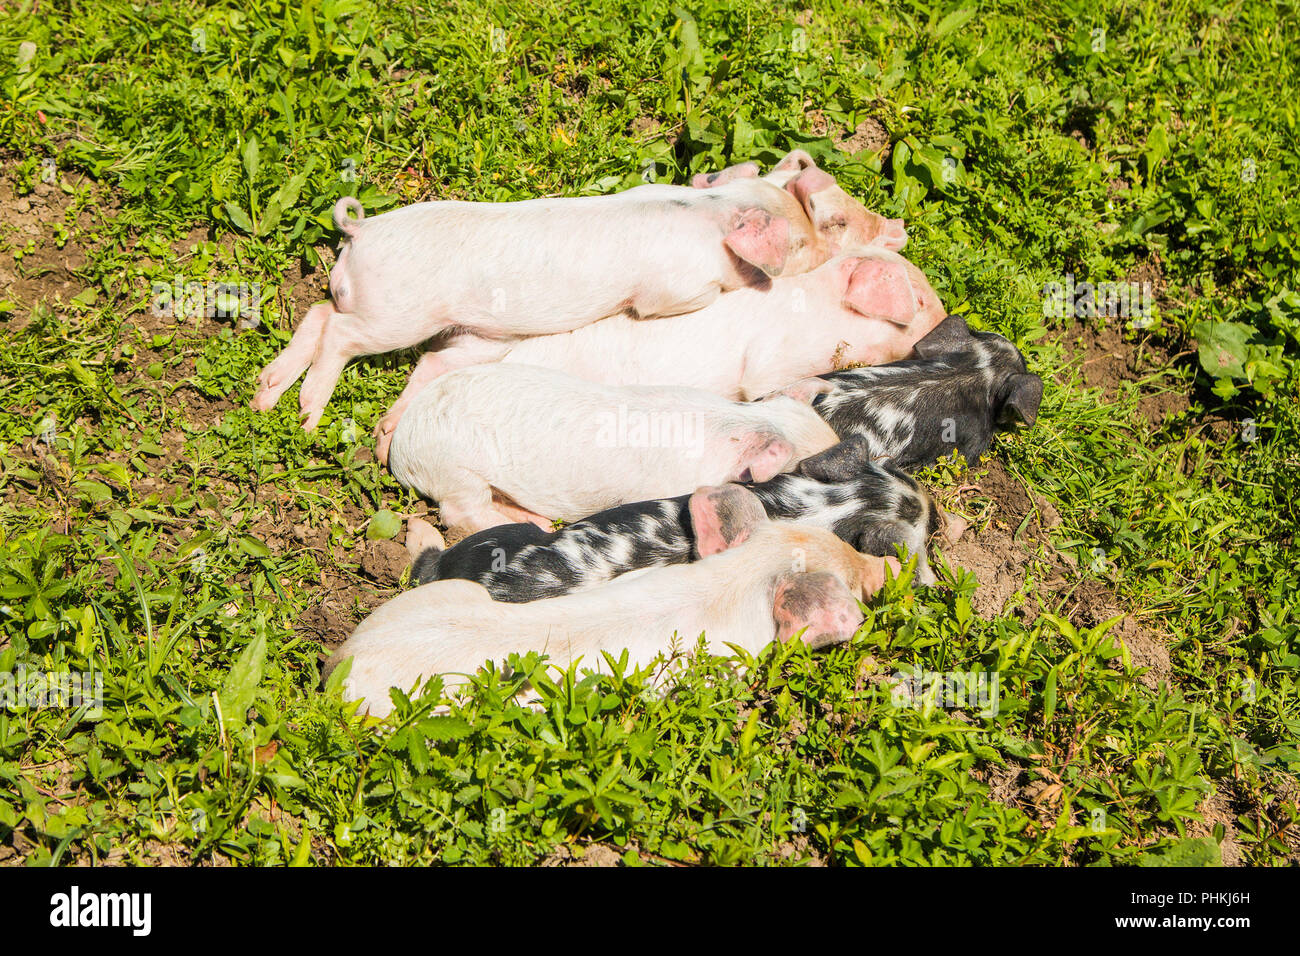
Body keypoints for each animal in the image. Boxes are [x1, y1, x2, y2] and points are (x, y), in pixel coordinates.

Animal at [252, 149, 898, 431]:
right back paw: (306, 416)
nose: (823, 248)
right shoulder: (671, 289)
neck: (707, 215)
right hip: (395, 313)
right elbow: (680, 301)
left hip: (469, 337)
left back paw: (264, 395)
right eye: (797, 242)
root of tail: (361, 230)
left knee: (317, 312)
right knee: (337, 332)